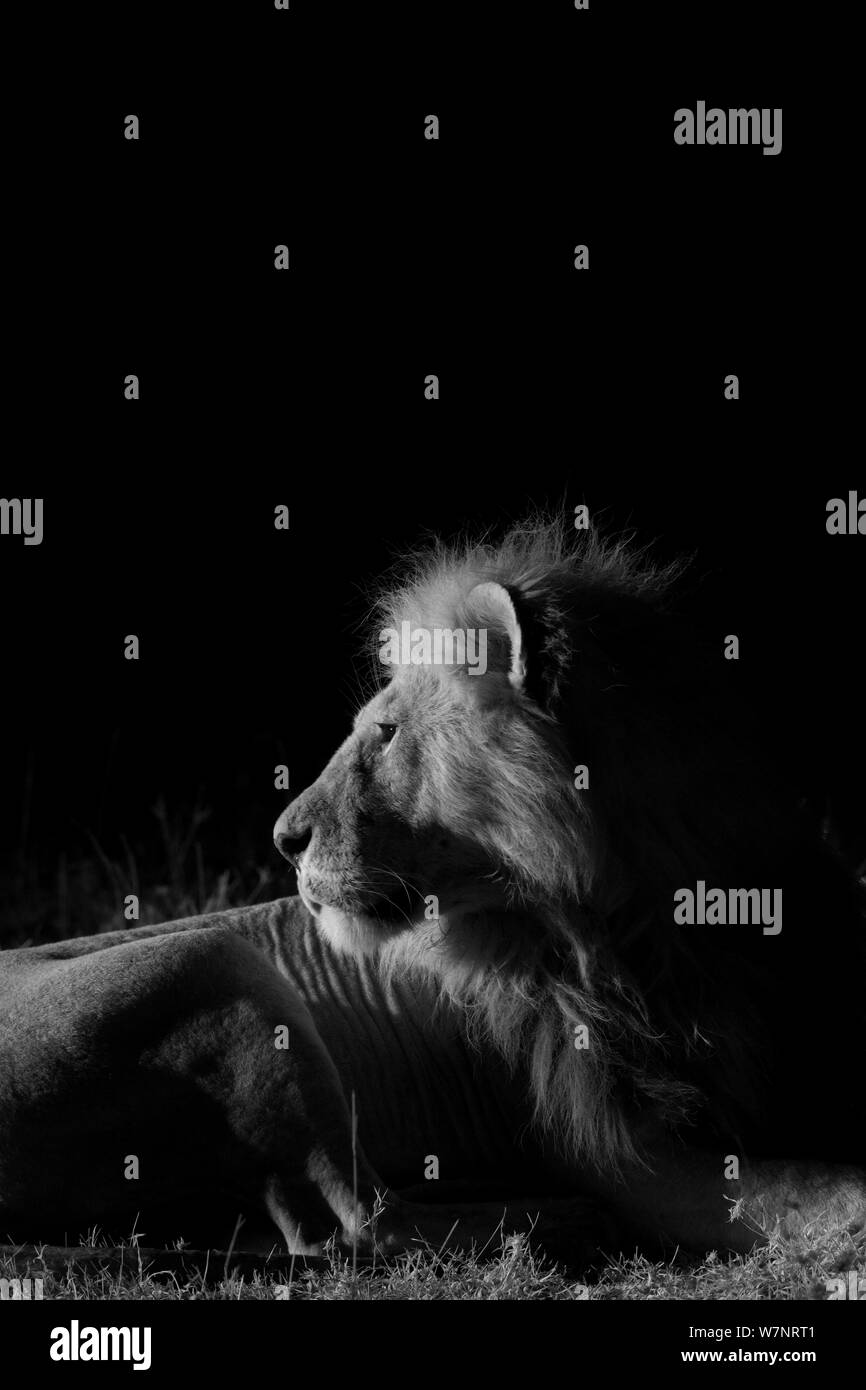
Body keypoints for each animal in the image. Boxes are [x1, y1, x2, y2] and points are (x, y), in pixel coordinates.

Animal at [2, 514, 864, 1266]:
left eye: (385, 734)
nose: (283, 840)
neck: (624, 928)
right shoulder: (630, 1156)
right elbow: (836, 1192)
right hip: (213, 962)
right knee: (356, 1224)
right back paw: (561, 1222)